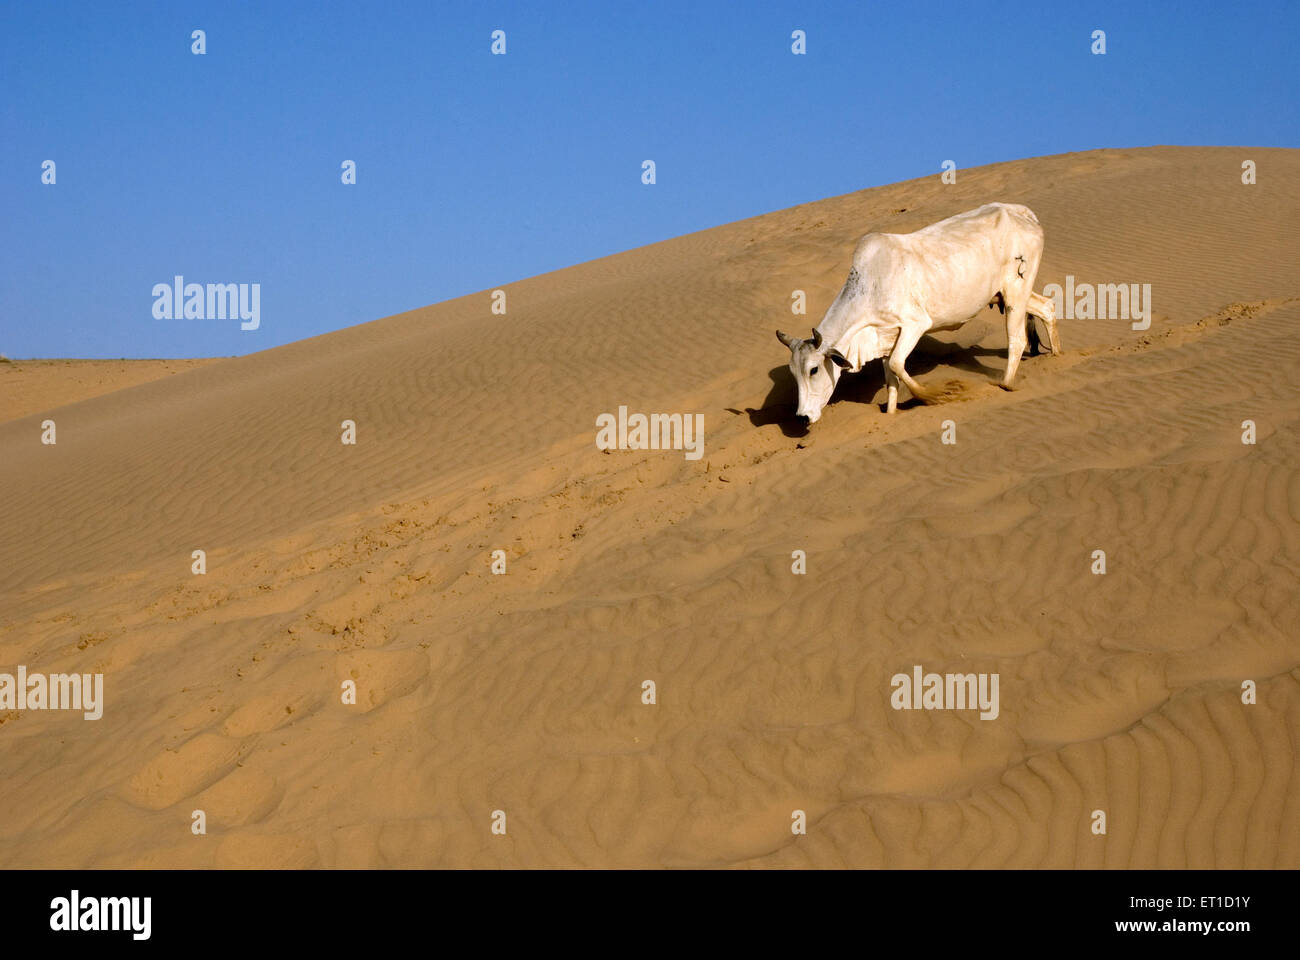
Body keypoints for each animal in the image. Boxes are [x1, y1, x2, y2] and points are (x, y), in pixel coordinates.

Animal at [776, 202, 1049, 425]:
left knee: (1017, 339)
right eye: (793, 373)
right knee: (1047, 307)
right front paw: (891, 413)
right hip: (1008, 294)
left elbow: (898, 364)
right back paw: (1055, 353)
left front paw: (938, 394)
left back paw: (1006, 384)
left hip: (1015, 293)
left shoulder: (914, 324)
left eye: (813, 370)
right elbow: (891, 378)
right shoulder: (886, 336)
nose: (802, 417)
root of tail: (1020, 211)